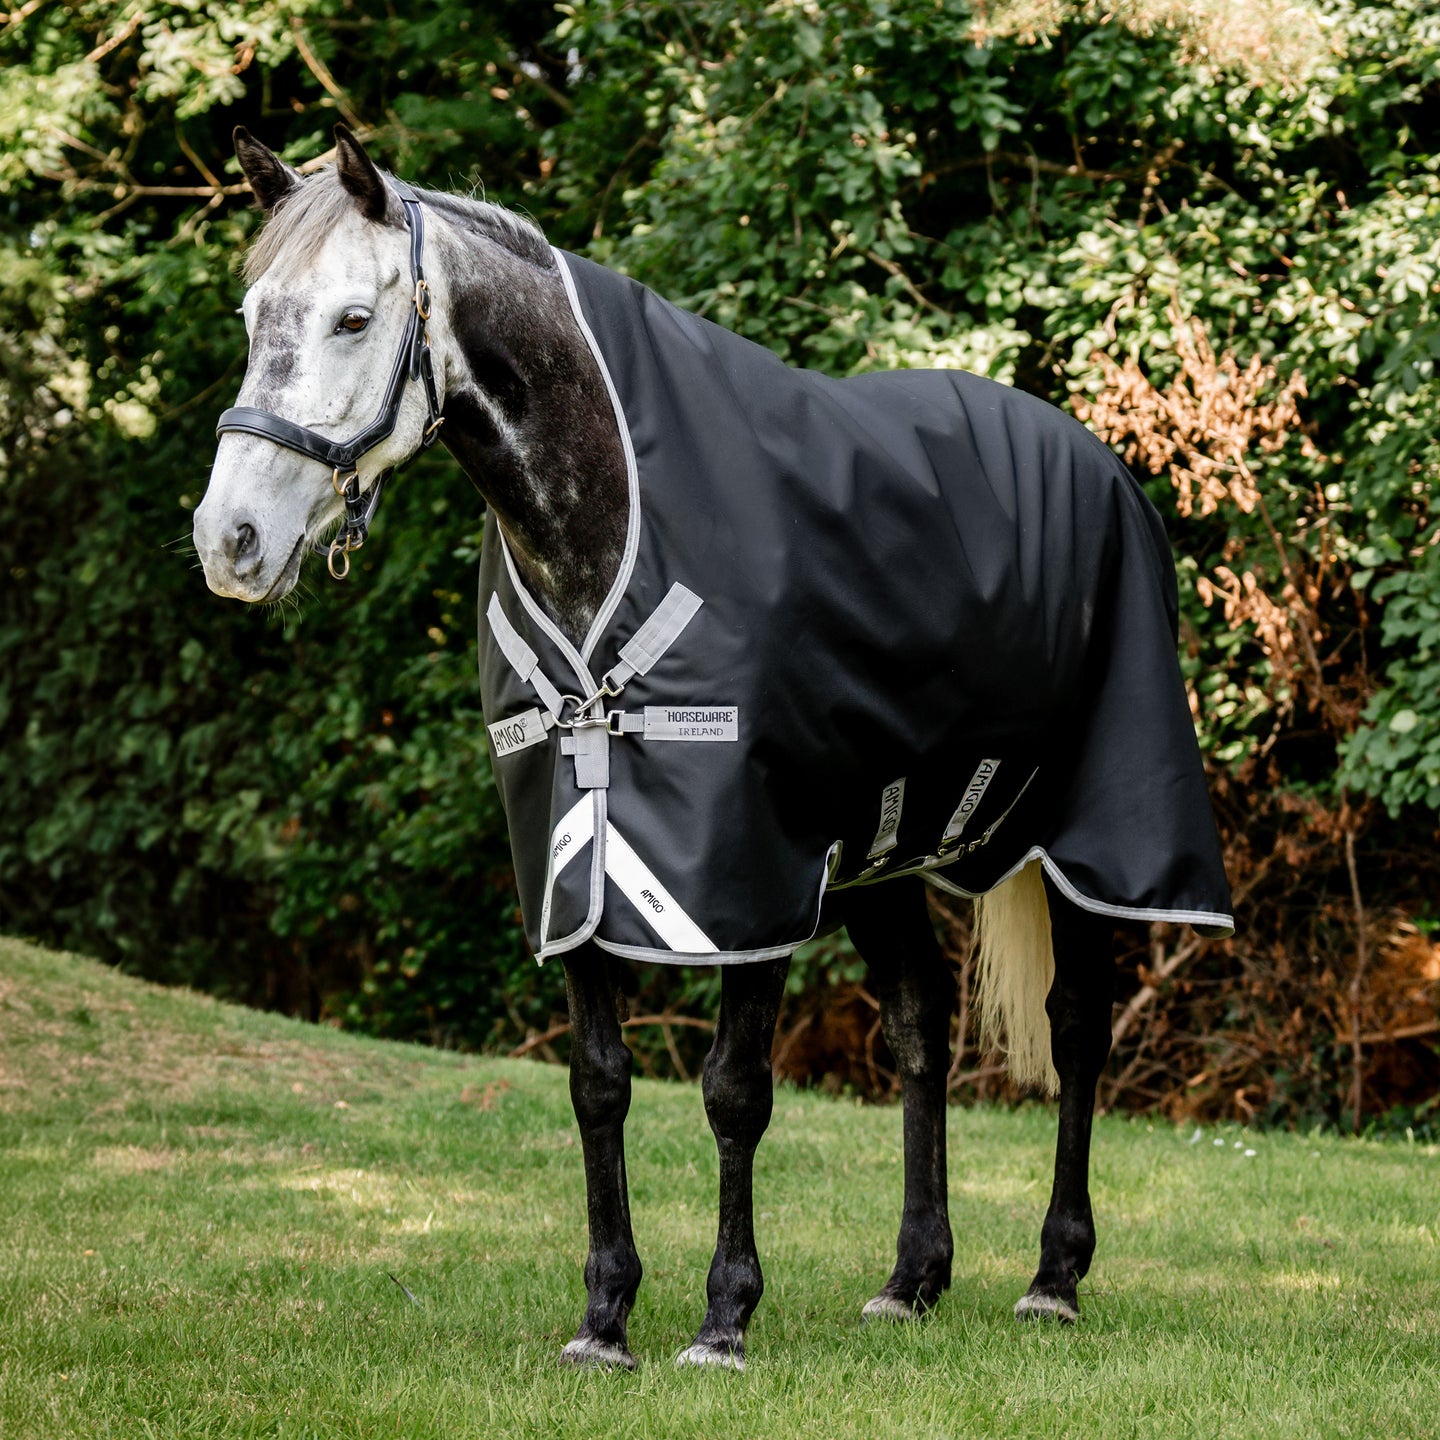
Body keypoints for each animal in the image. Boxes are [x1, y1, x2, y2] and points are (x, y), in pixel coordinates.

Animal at [194, 125, 1232, 1370]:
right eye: (253, 314)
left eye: (354, 317)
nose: (230, 540)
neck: (608, 522)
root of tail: (1096, 459)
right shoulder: (574, 855)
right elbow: (599, 1083)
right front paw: (604, 1317)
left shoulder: (748, 870)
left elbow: (736, 1090)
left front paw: (724, 1316)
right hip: (881, 849)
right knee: (922, 1027)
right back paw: (912, 1279)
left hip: (1084, 838)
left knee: (1076, 1028)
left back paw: (1054, 1276)